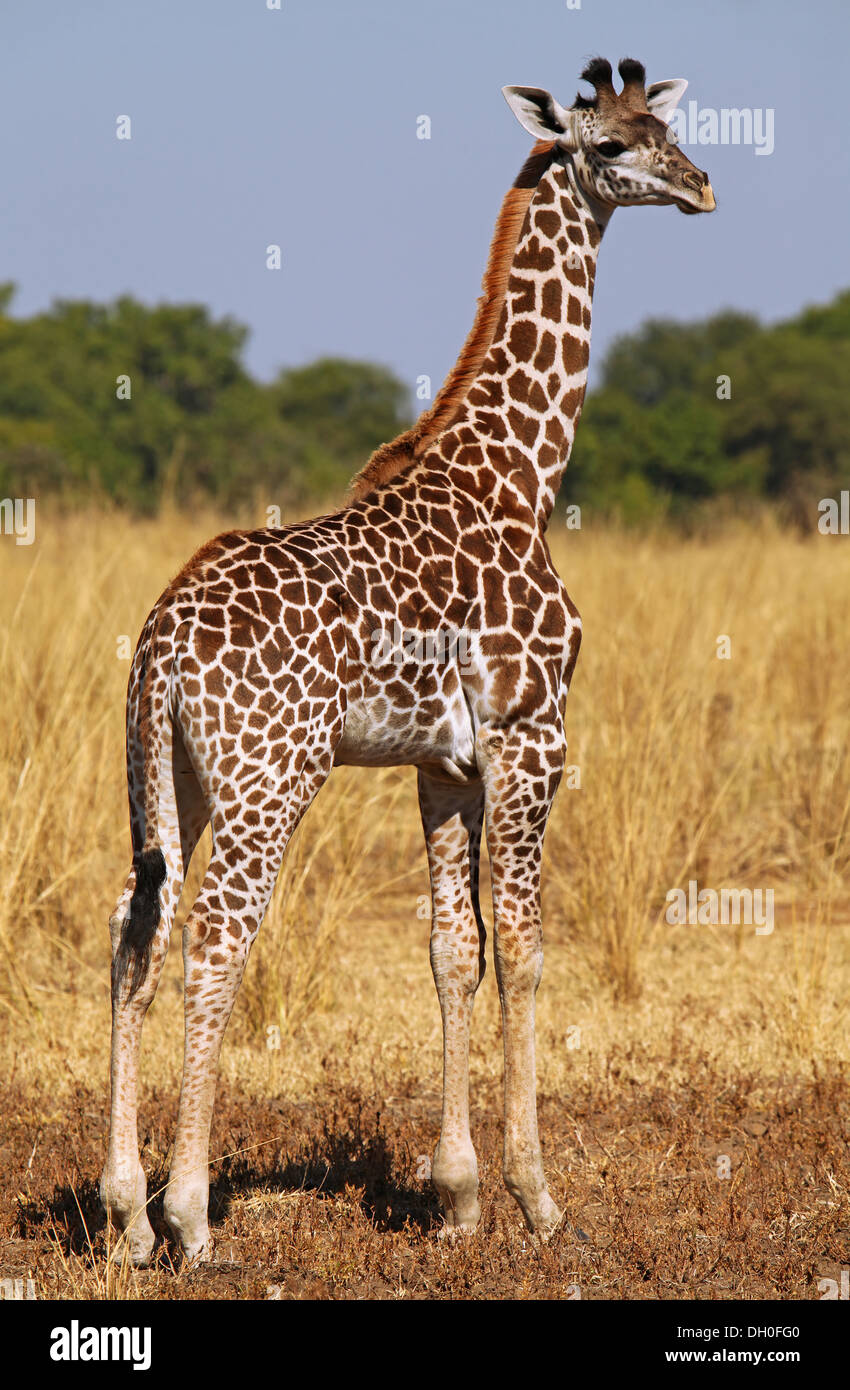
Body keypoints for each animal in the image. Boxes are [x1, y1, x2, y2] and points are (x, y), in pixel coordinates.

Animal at [100, 57, 715, 1265]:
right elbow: (523, 943)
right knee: (214, 940)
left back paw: (127, 1213)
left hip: (174, 778)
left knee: (133, 928)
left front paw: (457, 1195)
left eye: (664, 126)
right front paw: (536, 1198)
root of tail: (160, 643)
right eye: (612, 146)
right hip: (269, 777)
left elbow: (450, 949)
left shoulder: (443, 764)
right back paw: (190, 1214)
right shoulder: (533, 736)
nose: (701, 185)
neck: (520, 475)